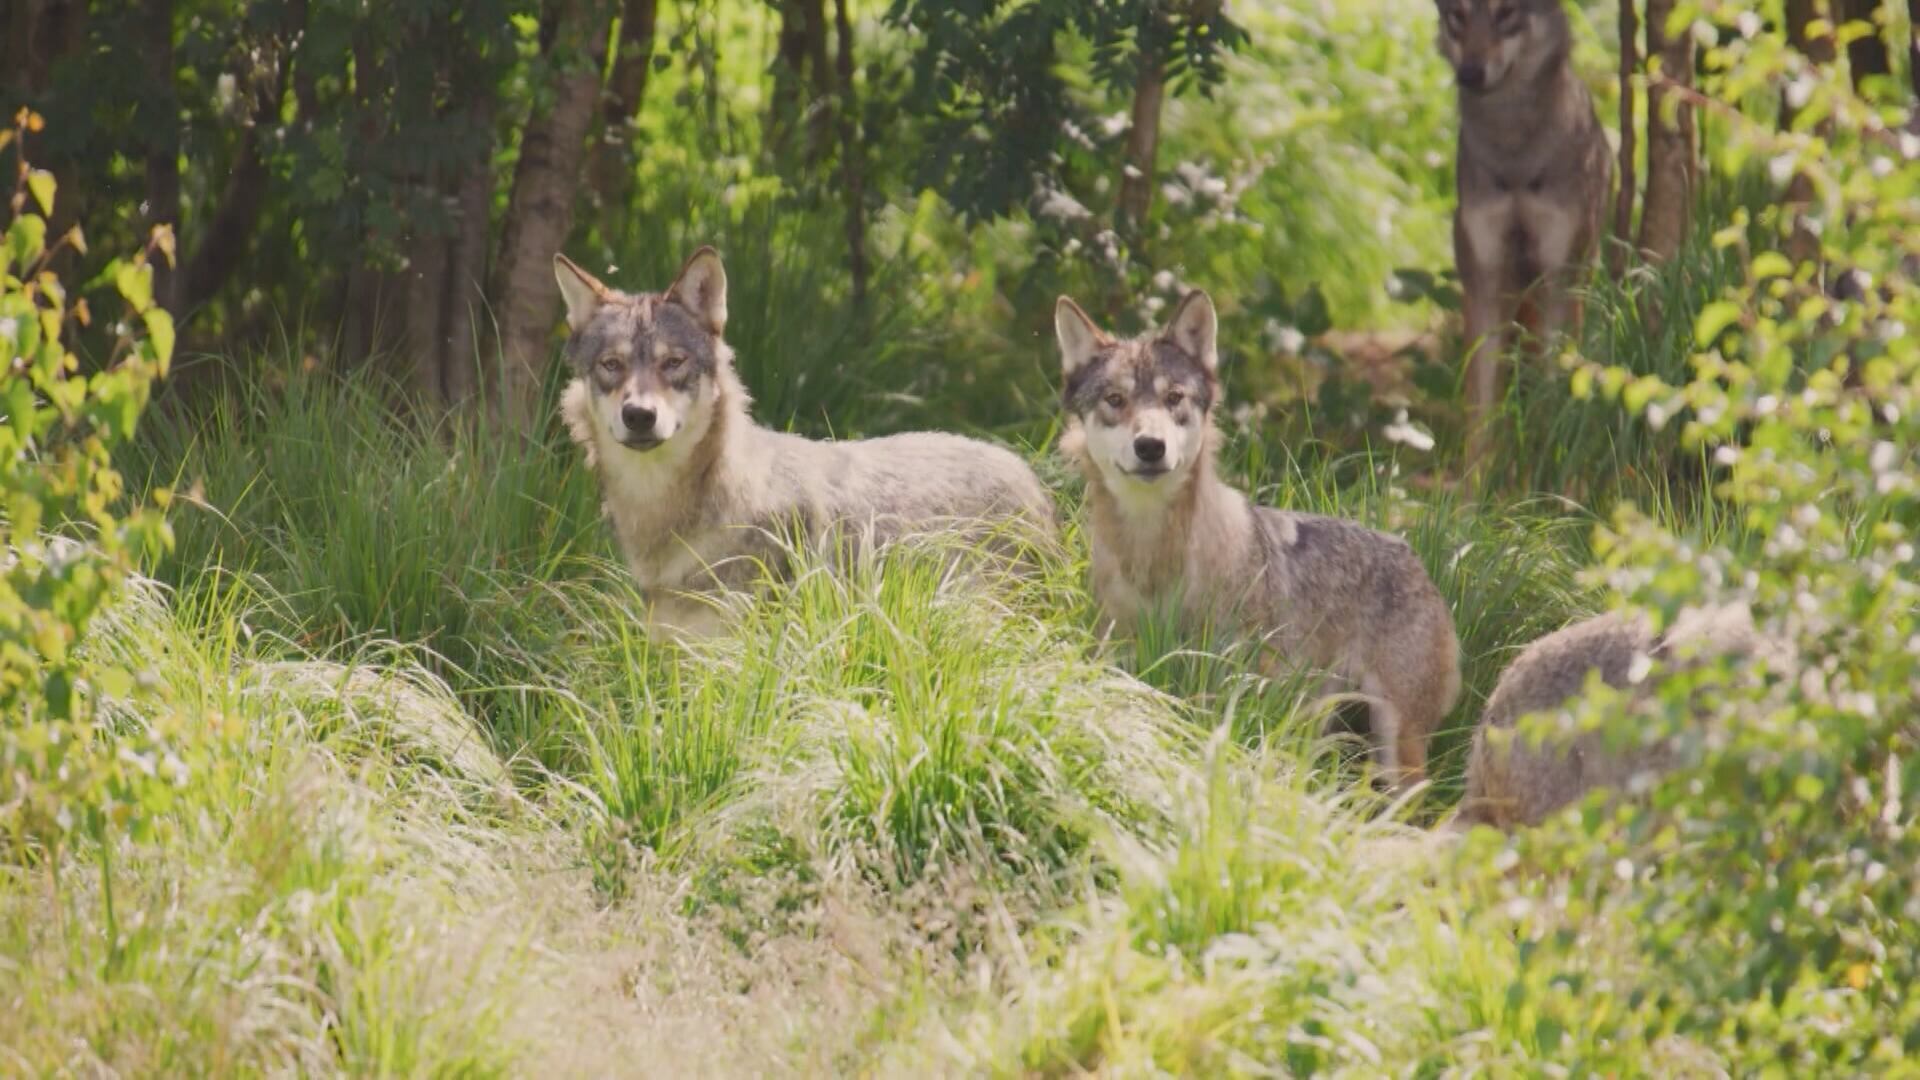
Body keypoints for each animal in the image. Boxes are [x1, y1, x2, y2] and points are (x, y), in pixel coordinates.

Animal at [1055, 292, 1462, 791]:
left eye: (1174, 398)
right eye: (1115, 400)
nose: (1150, 446)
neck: (1155, 558)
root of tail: (1416, 561)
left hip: (1395, 741)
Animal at [1435, 0, 1612, 467]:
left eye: (1506, 12)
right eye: (1458, 15)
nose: (1470, 73)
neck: (1513, 152)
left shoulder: (1559, 282)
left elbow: (1553, 399)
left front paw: (1549, 474)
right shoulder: (1482, 282)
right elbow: (1480, 416)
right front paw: (1475, 488)